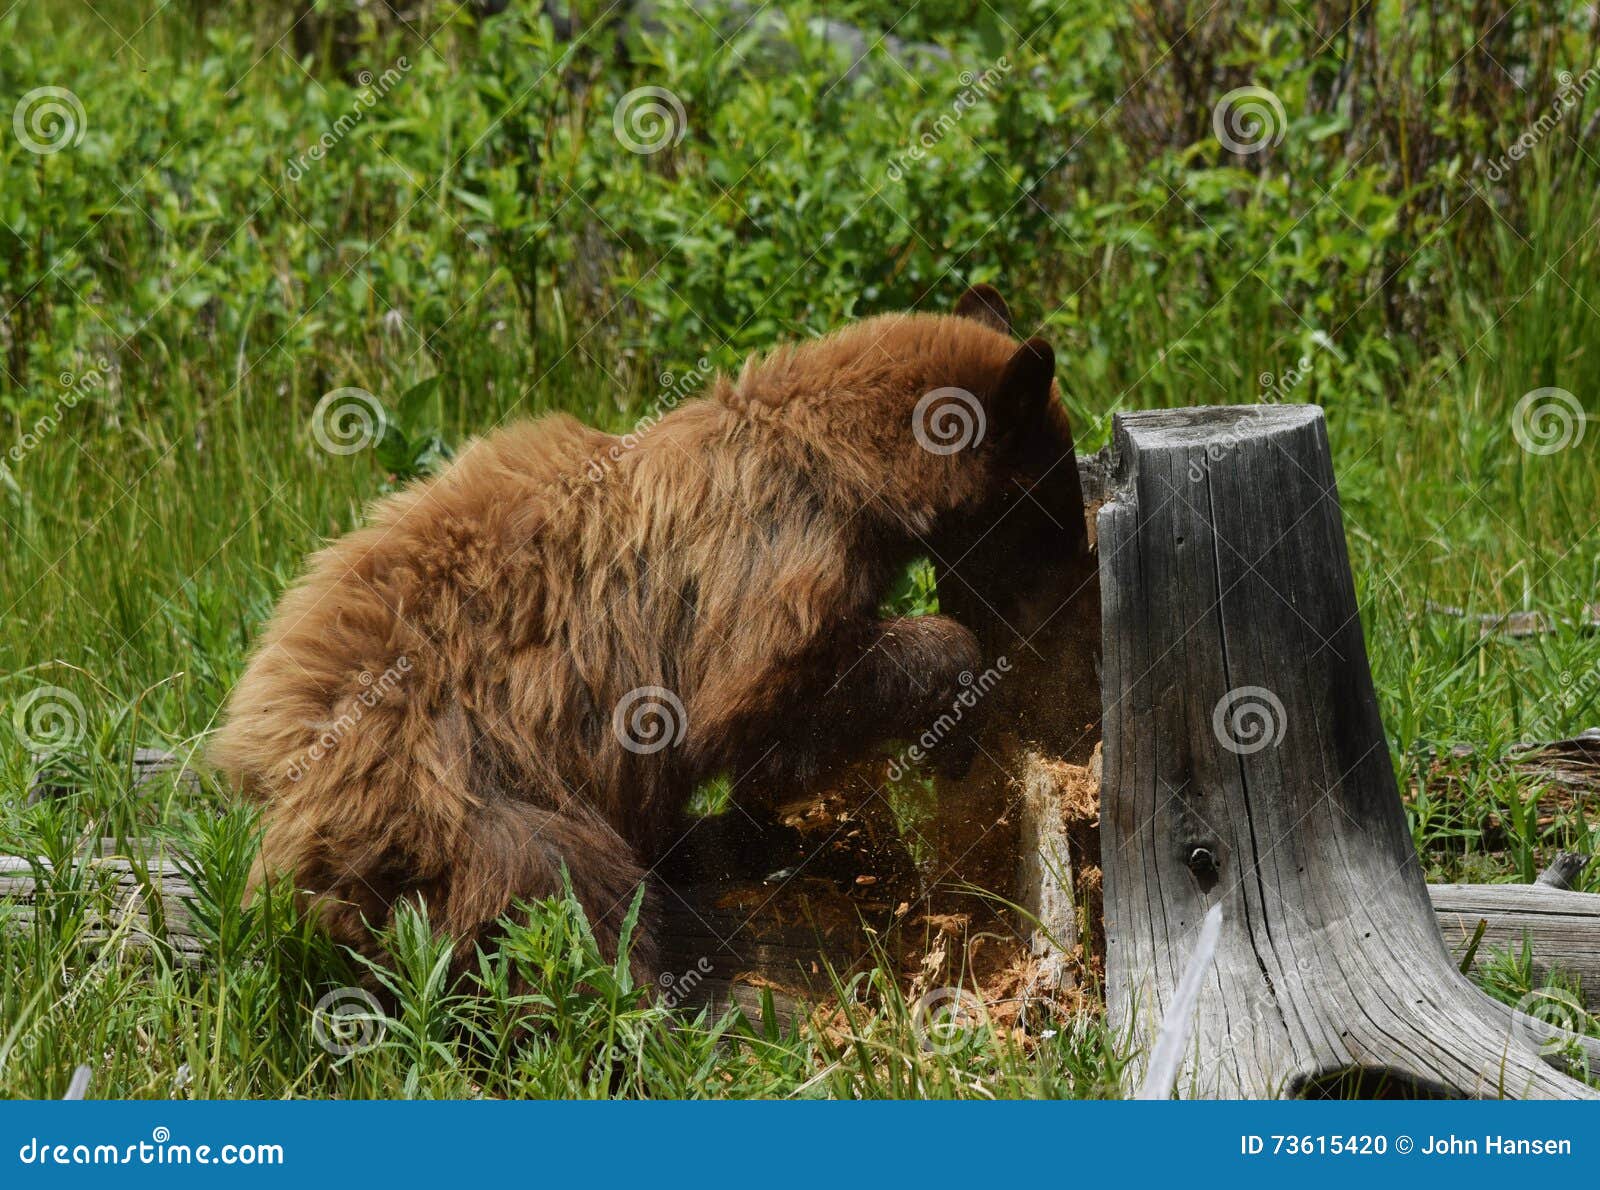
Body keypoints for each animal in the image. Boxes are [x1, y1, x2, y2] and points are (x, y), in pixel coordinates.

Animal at [211, 285, 1080, 986]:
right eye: (1053, 491)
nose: (1075, 579)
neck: (844, 460)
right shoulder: (774, 558)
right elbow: (768, 703)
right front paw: (955, 717)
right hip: (456, 798)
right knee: (563, 889)